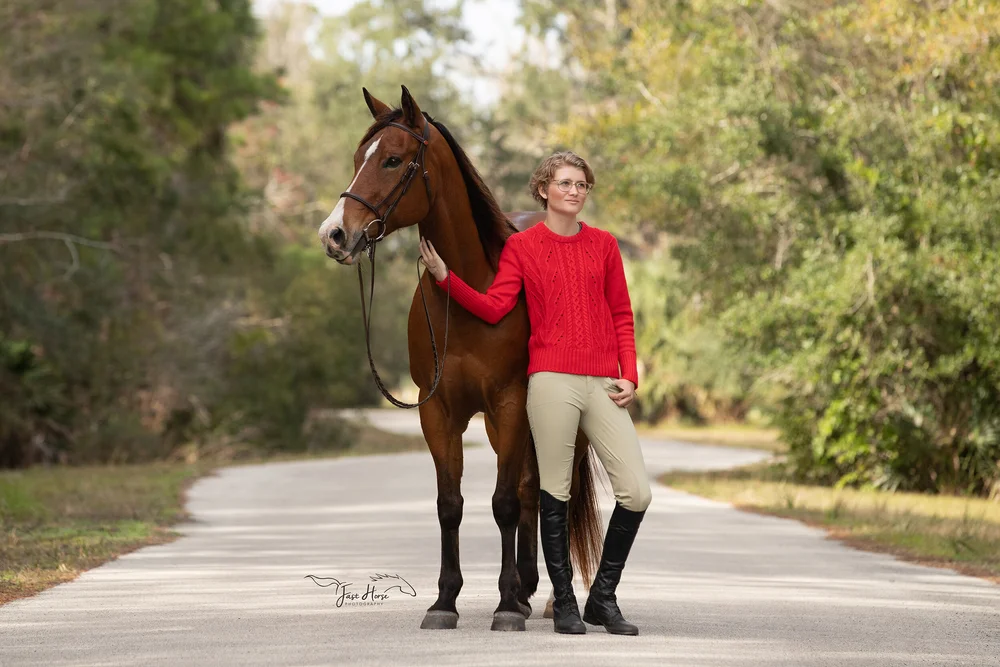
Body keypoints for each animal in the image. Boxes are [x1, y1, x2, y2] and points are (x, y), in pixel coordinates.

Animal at [318, 85, 604, 631]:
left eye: (392, 160)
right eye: (358, 159)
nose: (334, 235)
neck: (473, 291)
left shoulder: (509, 404)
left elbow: (503, 504)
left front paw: (505, 605)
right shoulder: (438, 411)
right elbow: (450, 504)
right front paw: (444, 601)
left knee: (546, 490)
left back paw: (541, 598)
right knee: (532, 489)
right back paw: (528, 589)